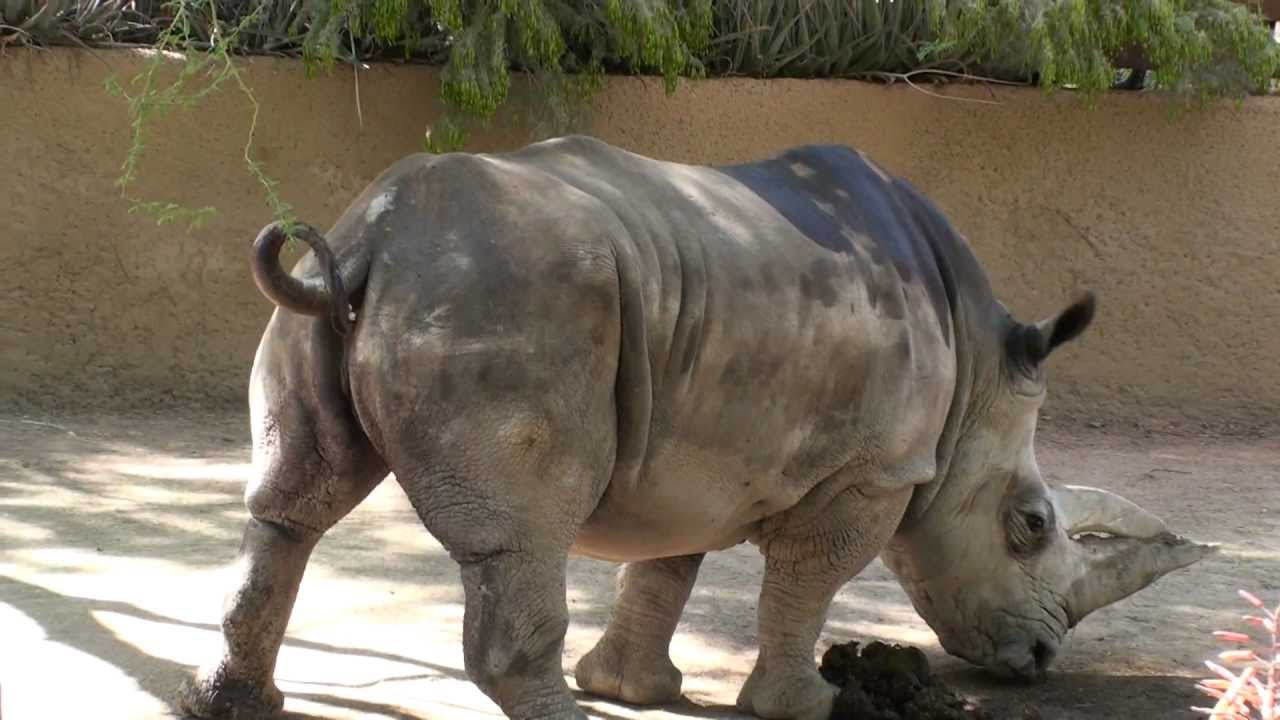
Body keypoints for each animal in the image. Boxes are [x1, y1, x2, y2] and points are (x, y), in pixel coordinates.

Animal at [177, 135, 1213, 720]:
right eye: (1030, 526)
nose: (1039, 660)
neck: (974, 381)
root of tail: (380, 242)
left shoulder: (700, 443)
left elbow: (664, 568)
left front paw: (636, 692)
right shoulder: (874, 468)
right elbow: (807, 582)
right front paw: (809, 703)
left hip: (384, 287)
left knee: (288, 505)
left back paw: (227, 703)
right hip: (514, 293)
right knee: (525, 531)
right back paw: (559, 718)